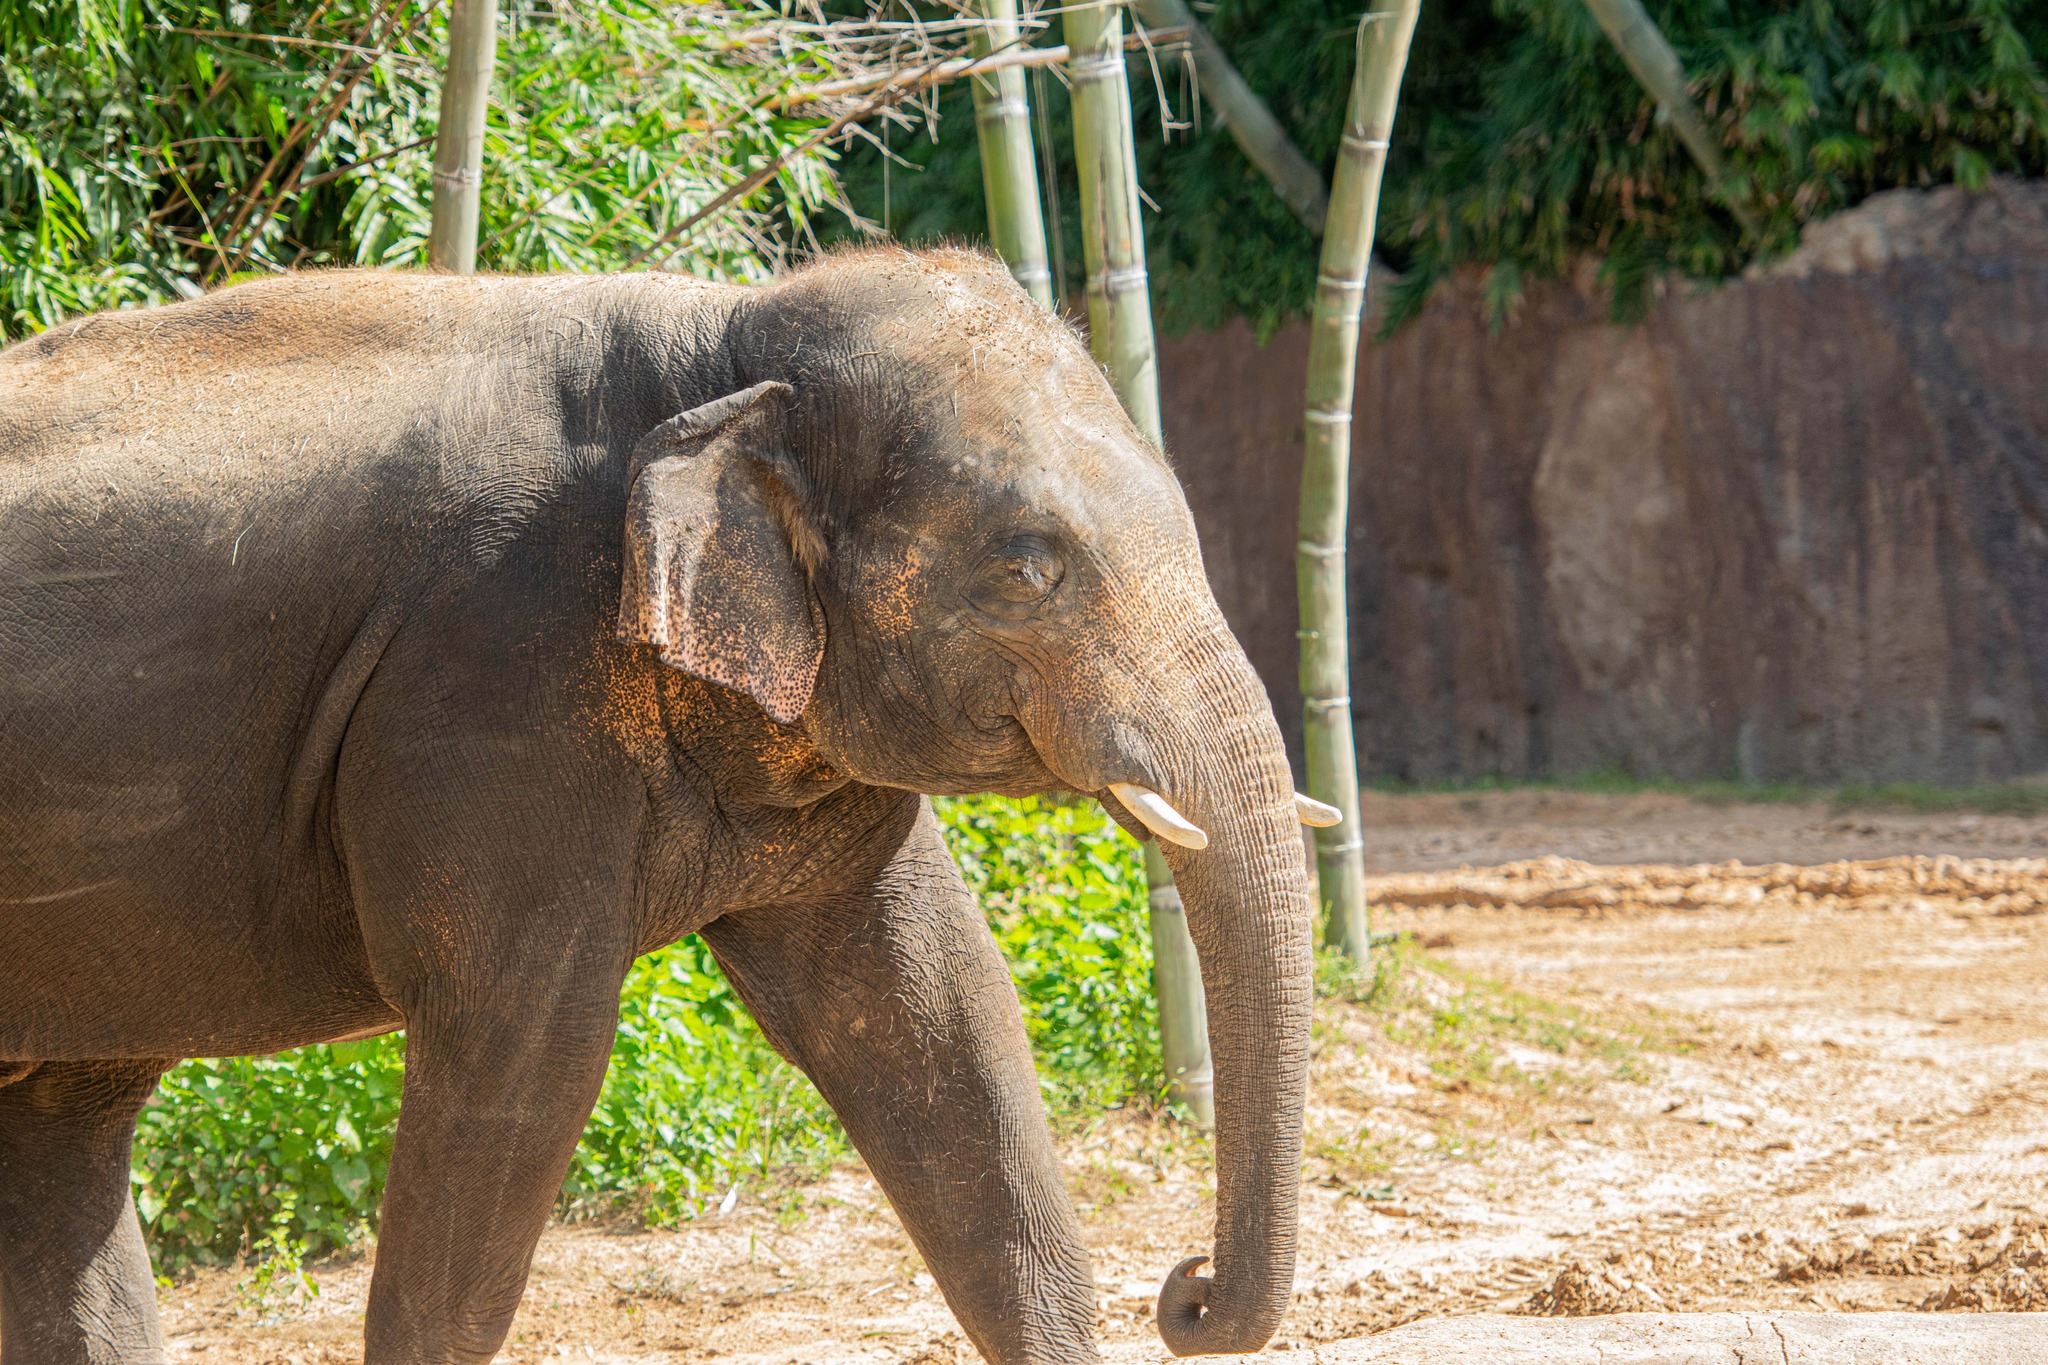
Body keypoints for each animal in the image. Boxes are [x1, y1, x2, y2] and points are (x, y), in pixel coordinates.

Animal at [0, 248, 1322, 1365]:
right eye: (1029, 565)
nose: (1187, 1290)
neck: (720, 343)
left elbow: (934, 1012)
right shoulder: (489, 677)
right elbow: (524, 1060)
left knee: (63, 1134)